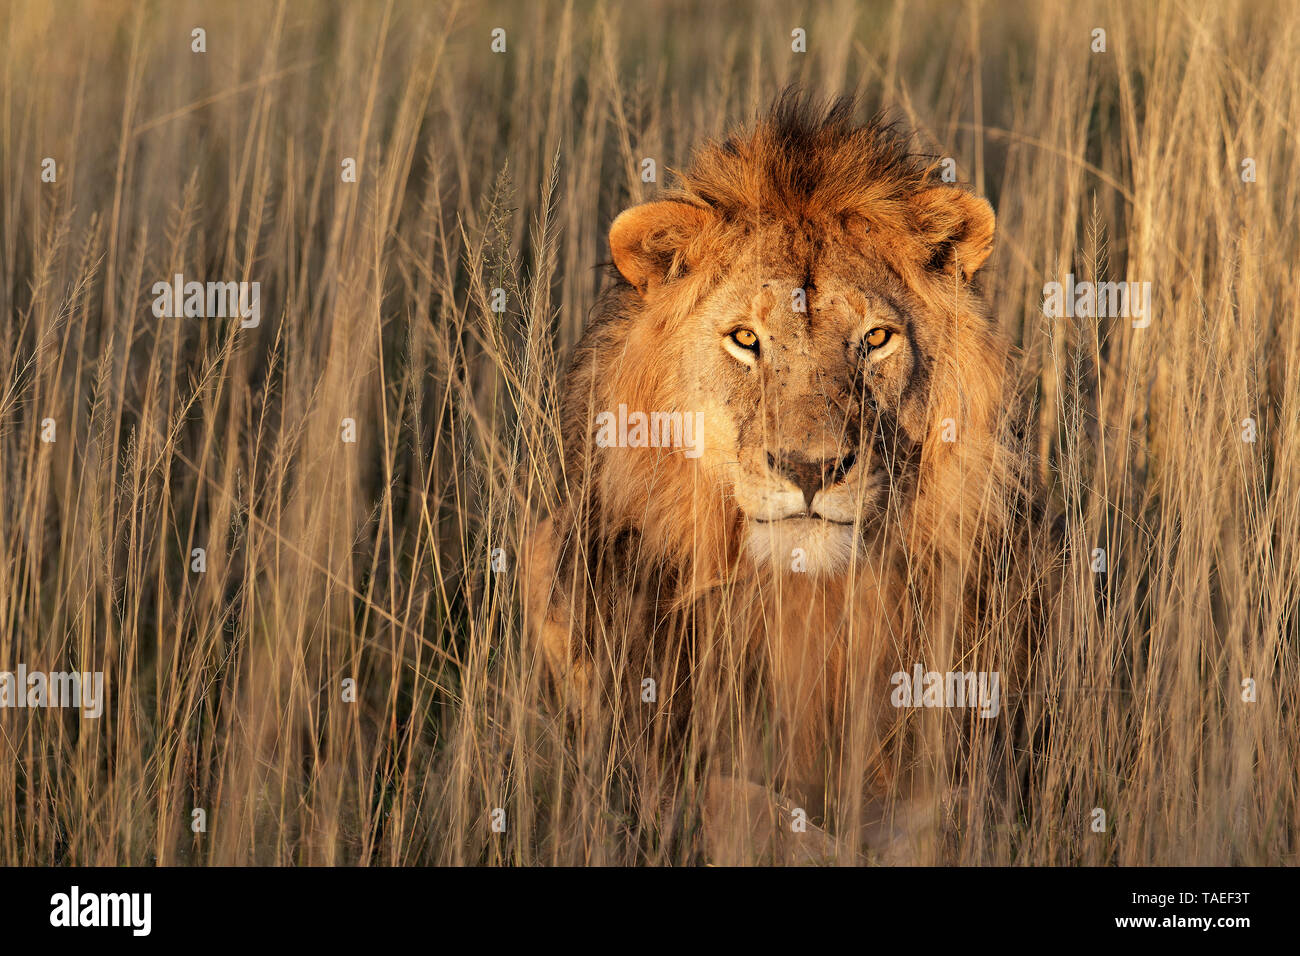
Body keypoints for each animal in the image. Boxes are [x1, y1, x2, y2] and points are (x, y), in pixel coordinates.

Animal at [523, 91, 1044, 864]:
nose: (811, 467)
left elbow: (954, 811)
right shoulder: (631, 776)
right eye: (746, 339)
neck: (804, 600)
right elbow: (740, 804)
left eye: (875, 339)